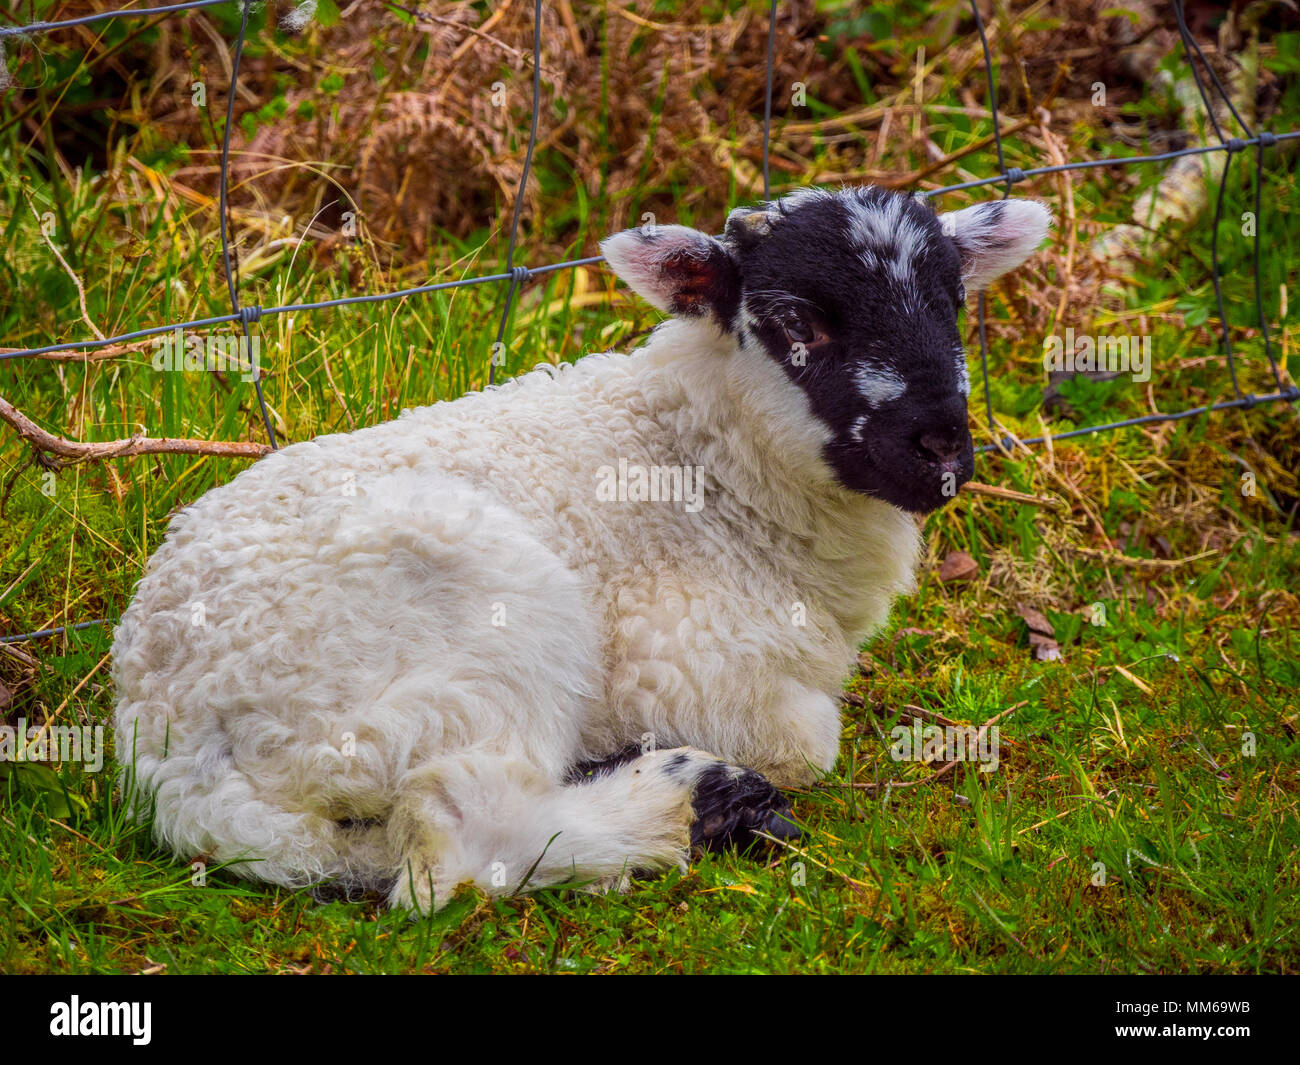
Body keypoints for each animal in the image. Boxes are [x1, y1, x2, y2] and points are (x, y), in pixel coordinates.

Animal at [111, 185, 1050, 912]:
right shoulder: (682, 665)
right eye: (796, 322)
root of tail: (169, 741)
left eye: (952, 302)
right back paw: (681, 803)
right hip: (481, 633)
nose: (940, 444)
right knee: (455, 838)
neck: (703, 462)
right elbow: (810, 737)